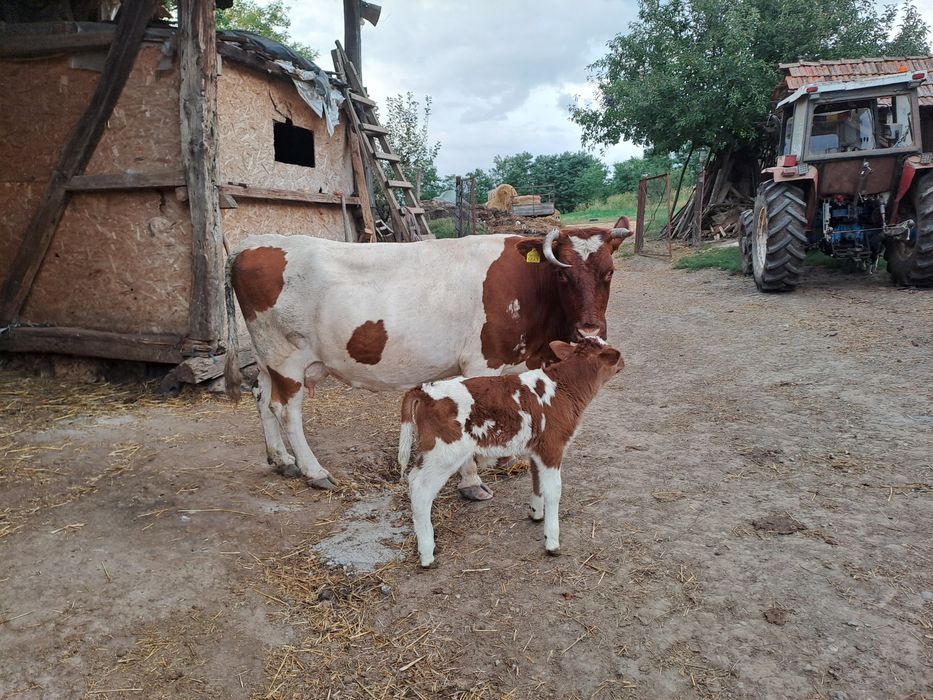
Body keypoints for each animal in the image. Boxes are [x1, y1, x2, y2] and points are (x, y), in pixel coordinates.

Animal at [223, 224, 631, 496]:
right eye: (562, 274)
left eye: (609, 272)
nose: (589, 329)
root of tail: (250, 244)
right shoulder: (481, 362)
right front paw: (472, 481)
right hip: (287, 357)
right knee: (286, 411)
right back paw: (314, 471)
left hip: (265, 355)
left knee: (262, 398)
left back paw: (281, 460)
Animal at [398, 337, 624, 567]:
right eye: (614, 355)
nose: (623, 363)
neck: (563, 387)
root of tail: (425, 391)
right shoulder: (552, 447)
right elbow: (554, 491)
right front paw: (552, 541)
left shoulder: (537, 449)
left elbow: (536, 480)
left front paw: (536, 514)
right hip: (445, 453)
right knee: (421, 490)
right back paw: (427, 553)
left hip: (433, 453)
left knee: (413, 479)